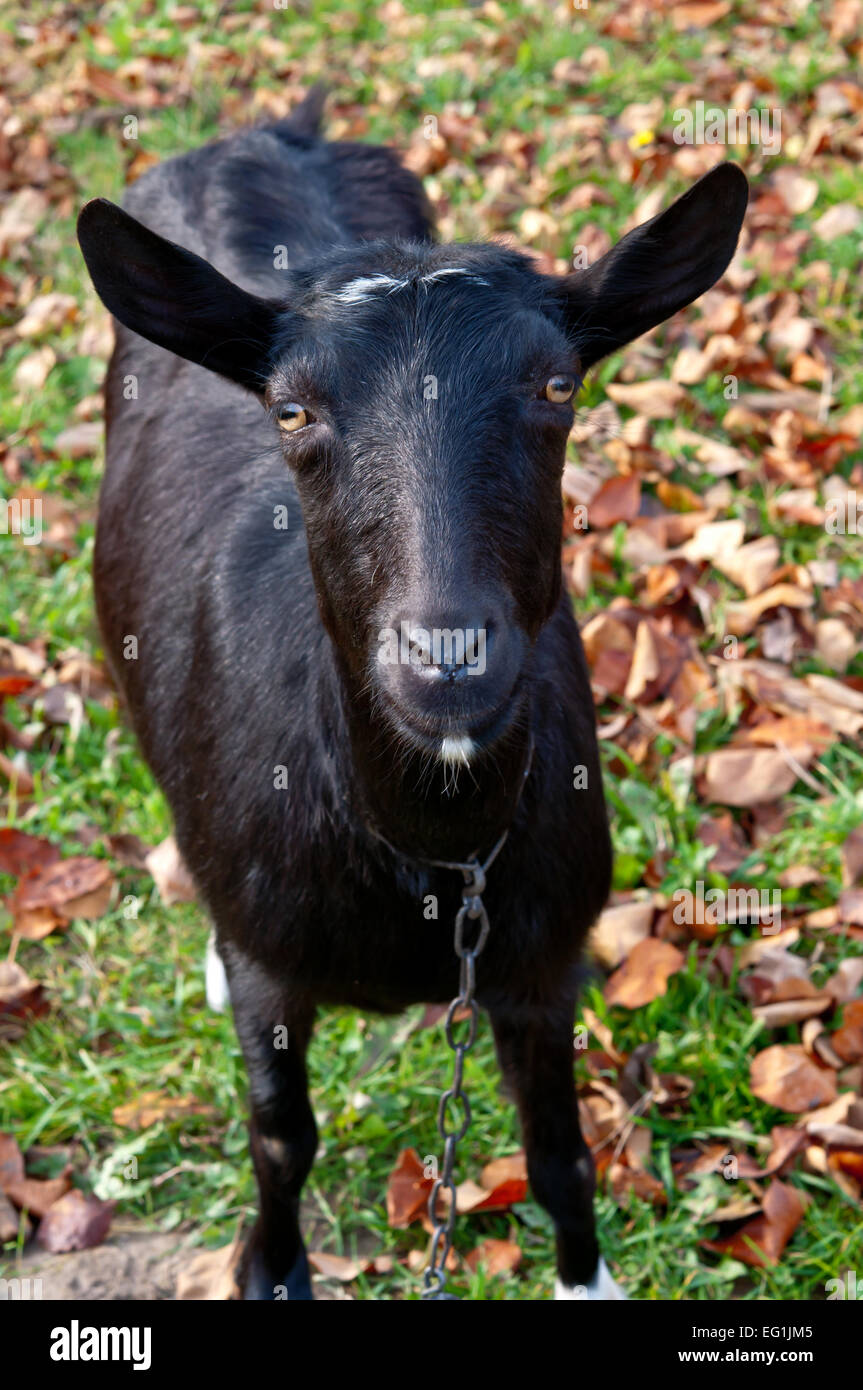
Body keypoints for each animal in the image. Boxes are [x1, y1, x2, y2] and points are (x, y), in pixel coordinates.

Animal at [77, 88, 747, 1300]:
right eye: (290, 412)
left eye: (558, 383)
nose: (446, 656)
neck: (432, 855)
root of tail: (273, 132)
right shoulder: (275, 975)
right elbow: (279, 1135)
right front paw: (270, 1266)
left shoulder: (539, 960)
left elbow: (559, 1151)